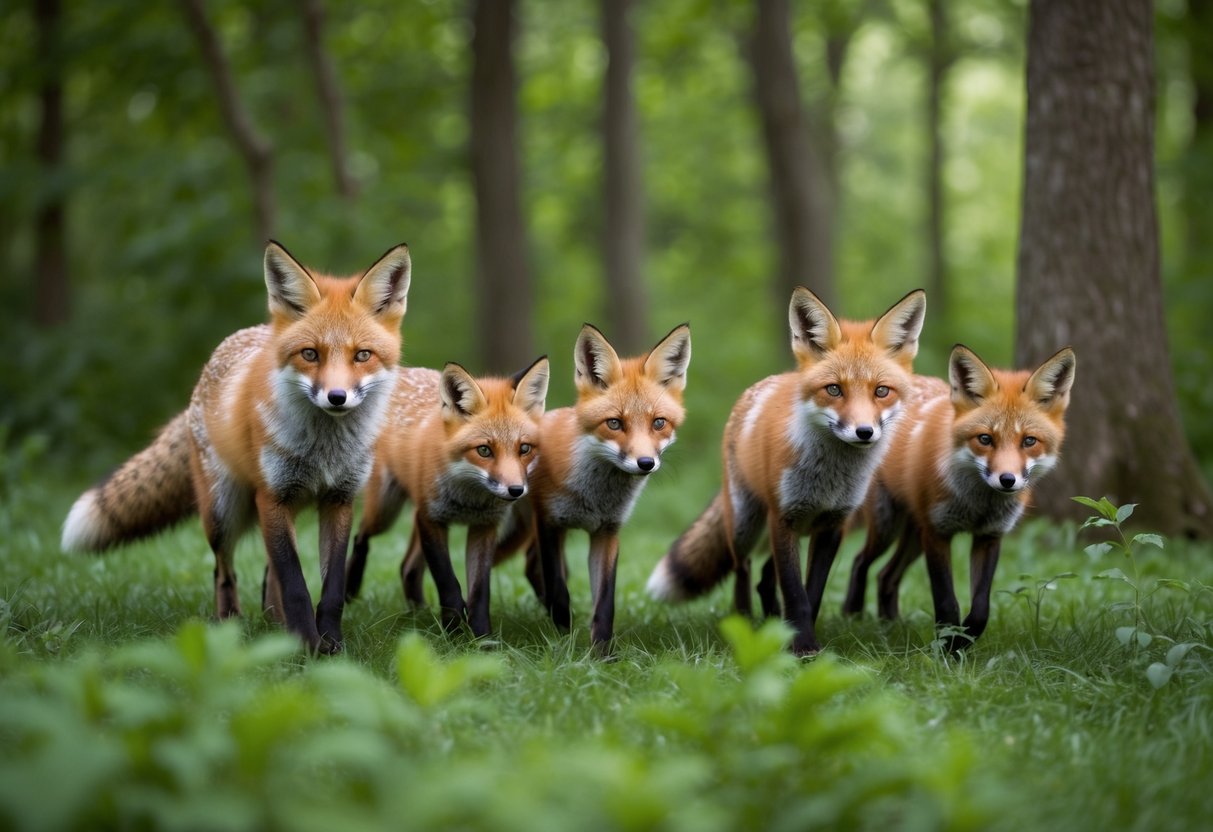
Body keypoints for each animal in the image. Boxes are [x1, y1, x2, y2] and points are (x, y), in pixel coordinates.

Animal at [61, 241, 412, 654]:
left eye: (362, 355)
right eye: (310, 354)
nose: (336, 397)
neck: (324, 451)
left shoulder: (338, 500)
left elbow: (331, 589)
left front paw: (330, 646)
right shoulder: (272, 495)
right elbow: (296, 587)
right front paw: (307, 648)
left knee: (269, 575)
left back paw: (276, 627)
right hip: (222, 512)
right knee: (223, 570)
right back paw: (231, 624)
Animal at [343, 357, 549, 638]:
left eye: (524, 448)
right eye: (484, 450)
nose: (516, 490)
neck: (469, 500)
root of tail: (402, 371)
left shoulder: (484, 526)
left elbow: (479, 591)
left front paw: (482, 639)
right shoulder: (432, 519)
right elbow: (448, 583)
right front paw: (453, 633)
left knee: (407, 568)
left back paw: (418, 613)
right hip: (385, 510)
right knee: (361, 537)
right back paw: (350, 589)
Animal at [496, 323, 692, 651]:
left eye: (658, 423)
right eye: (614, 423)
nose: (645, 463)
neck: (593, 498)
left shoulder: (607, 532)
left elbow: (604, 602)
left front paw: (602, 653)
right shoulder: (548, 523)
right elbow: (559, 588)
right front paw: (565, 639)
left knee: (530, 565)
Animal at [647, 288, 926, 656]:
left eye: (881, 391)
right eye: (834, 389)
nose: (864, 432)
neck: (827, 480)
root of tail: (761, 385)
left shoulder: (832, 525)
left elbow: (812, 593)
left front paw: (799, 641)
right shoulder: (783, 518)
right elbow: (796, 595)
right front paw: (803, 648)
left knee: (766, 577)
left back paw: (771, 625)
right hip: (745, 522)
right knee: (743, 570)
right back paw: (746, 623)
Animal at [841, 344, 1076, 651]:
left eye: (1029, 441)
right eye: (985, 439)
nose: (1007, 480)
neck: (978, 506)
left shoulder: (989, 536)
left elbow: (980, 608)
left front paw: (963, 641)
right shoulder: (938, 533)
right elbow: (946, 602)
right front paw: (947, 647)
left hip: (914, 536)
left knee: (886, 576)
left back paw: (891, 626)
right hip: (888, 526)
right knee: (861, 561)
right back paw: (852, 614)